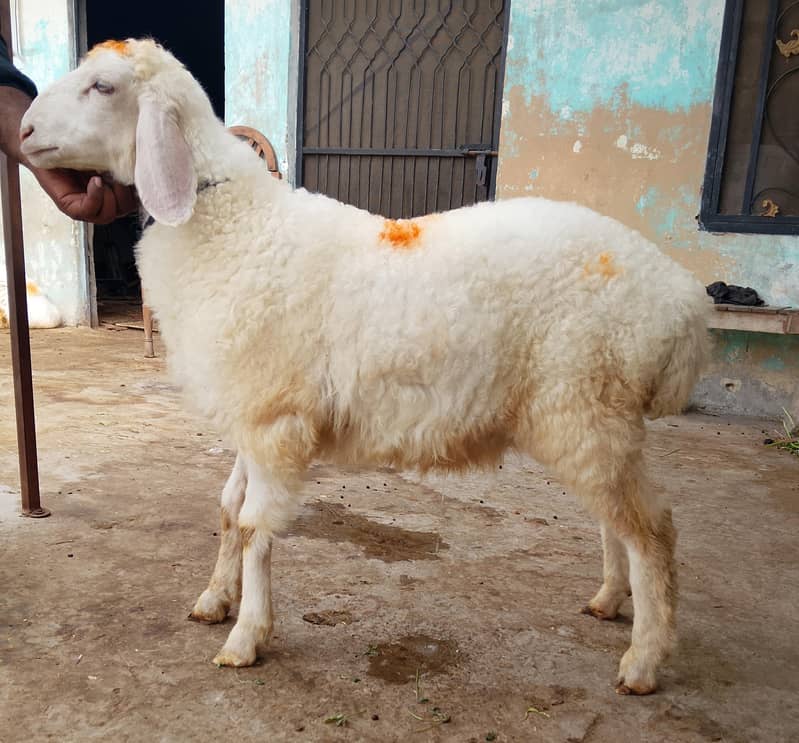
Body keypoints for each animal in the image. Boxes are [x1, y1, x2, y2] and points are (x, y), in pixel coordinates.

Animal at [20, 38, 710, 695]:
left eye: (103, 86)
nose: (23, 131)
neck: (229, 225)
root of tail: (682, 303)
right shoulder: (253, 408)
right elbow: (228, 508)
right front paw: (216, 599)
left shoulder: (275, 422)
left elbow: (256, 526)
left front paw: (246, 638)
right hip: (593, 420)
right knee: (618, 521)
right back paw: (608, 600)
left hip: (590, 407)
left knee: (653, 529)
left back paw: (644, 660)